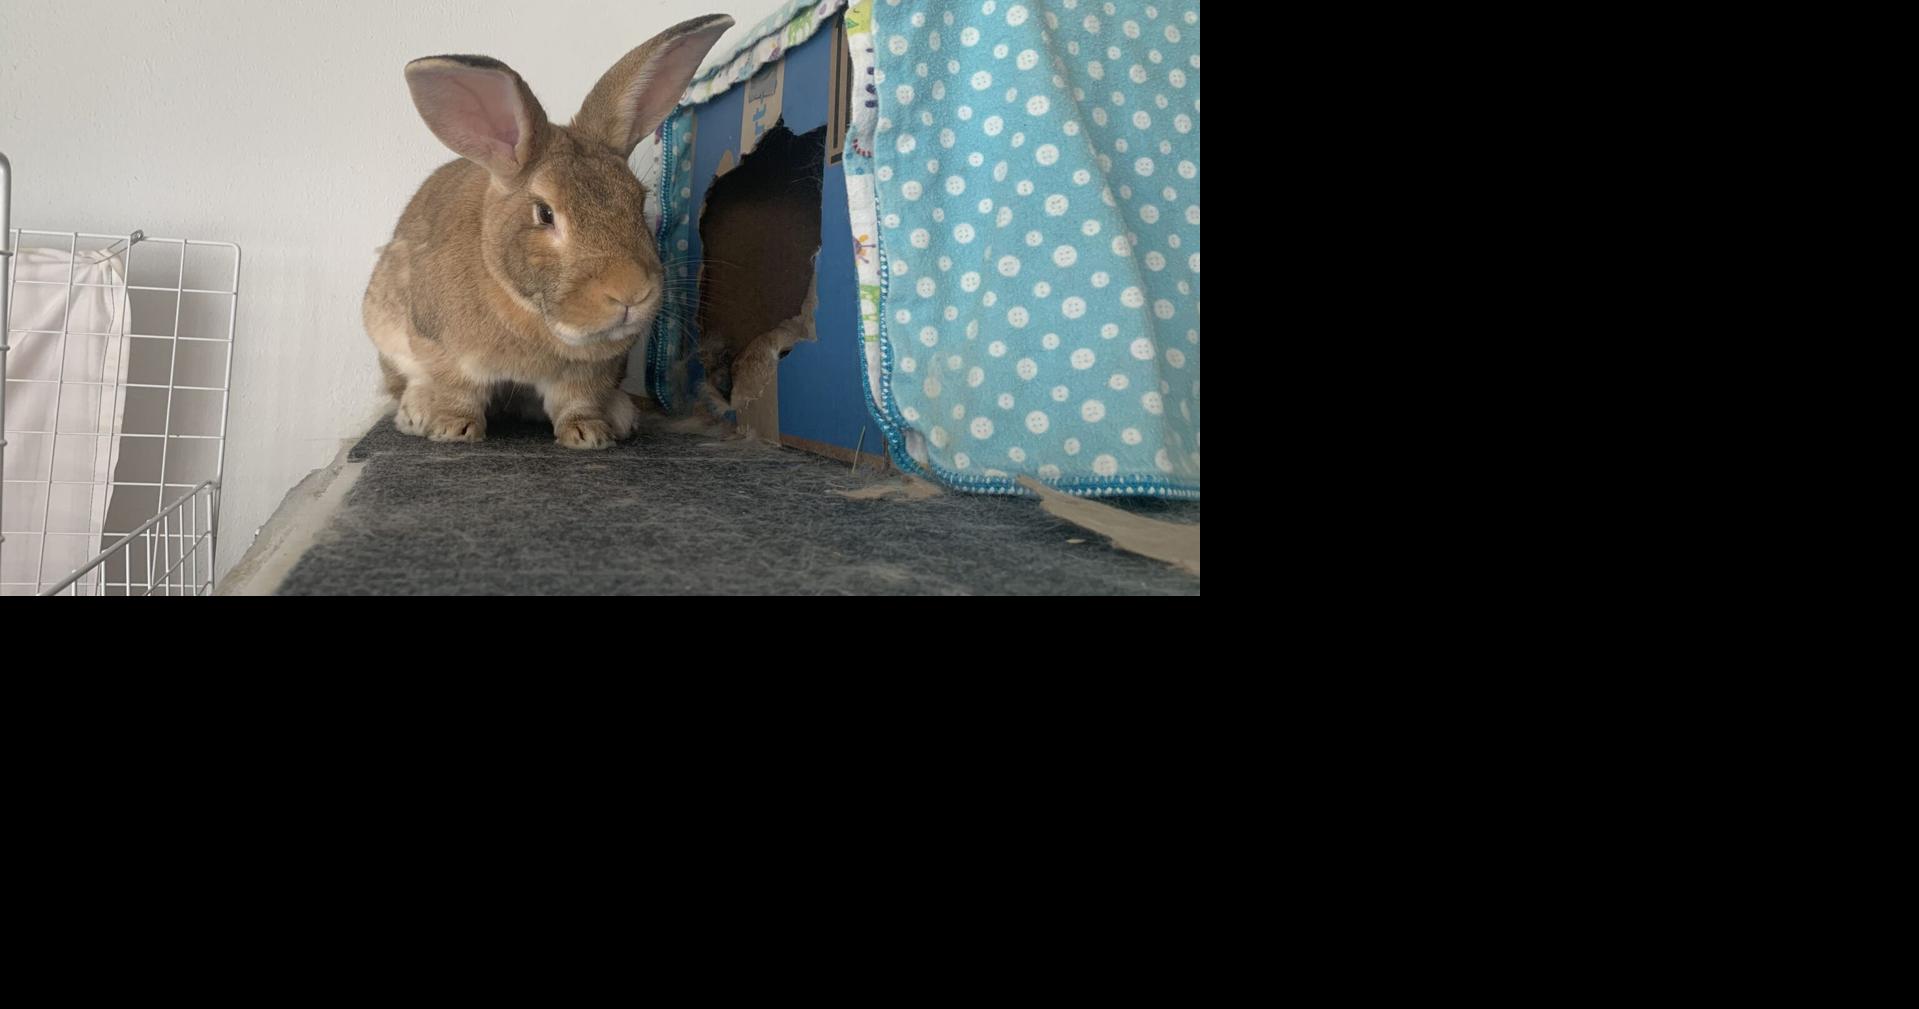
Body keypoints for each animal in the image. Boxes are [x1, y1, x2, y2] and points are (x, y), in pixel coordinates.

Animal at [364, 13, 734, 449]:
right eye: (545, 214)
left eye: (638, 199)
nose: (632, 293)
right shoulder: (443, 351)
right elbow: (457, 392)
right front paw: (452, 429)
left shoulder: (589, 372)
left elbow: (577, 402)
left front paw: (589, 435)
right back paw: (418, 412)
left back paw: (620, 416)